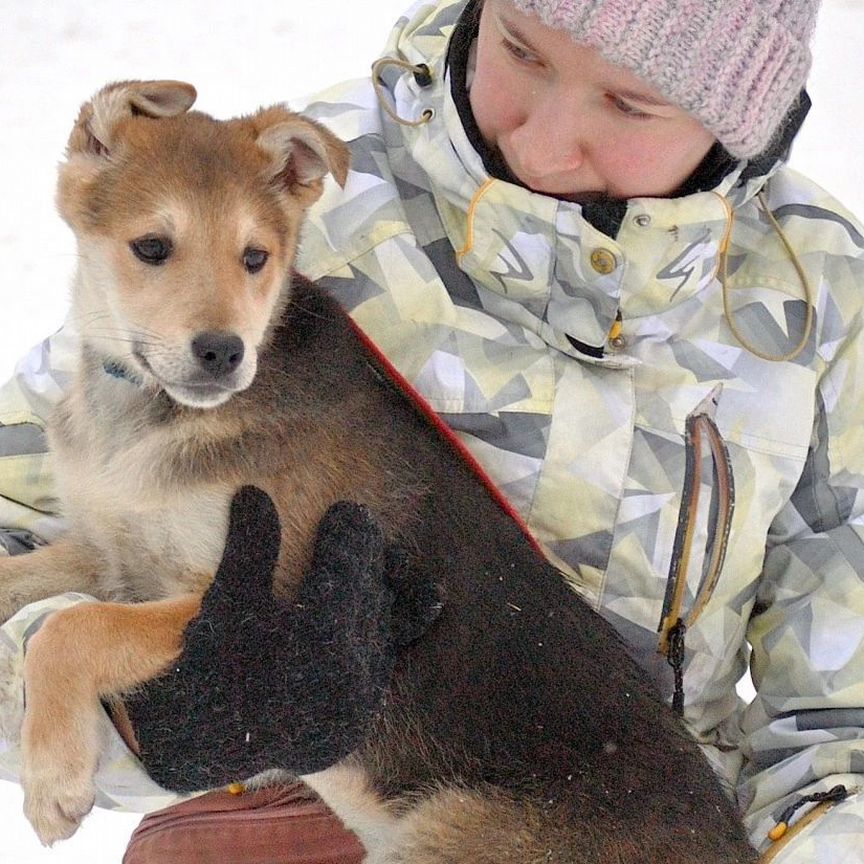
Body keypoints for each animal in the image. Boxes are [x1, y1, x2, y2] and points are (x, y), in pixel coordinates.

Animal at [0, 79, 756, 856]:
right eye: (151, 247)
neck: (144, 417)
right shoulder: (113, 553)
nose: (223, 353)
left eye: (255, 258)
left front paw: (53, 779)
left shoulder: (247, 596)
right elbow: (32, 587)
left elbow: (73, 629)